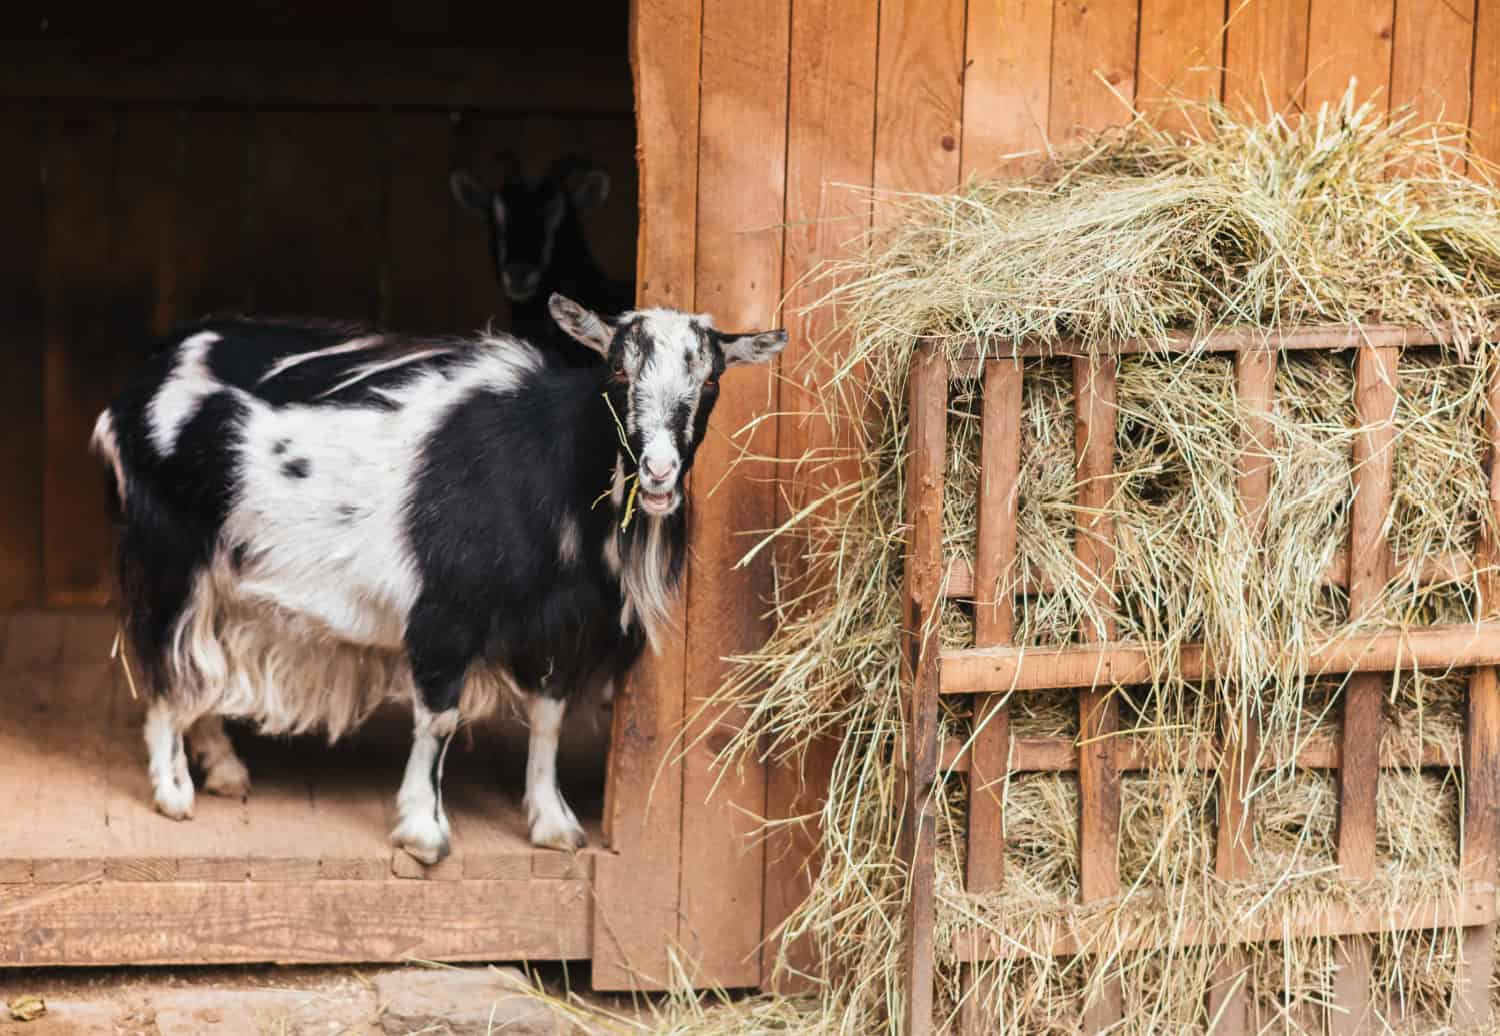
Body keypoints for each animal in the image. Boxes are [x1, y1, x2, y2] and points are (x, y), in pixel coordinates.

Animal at [91, 296, 785, 862]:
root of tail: (143, 381)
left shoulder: (557, 629)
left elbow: (549, 719)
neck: (549, 462)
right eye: (617, 372)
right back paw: (174, 789)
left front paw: (553, 823)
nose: (660, 473)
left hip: (225, 573)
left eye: (711, 379)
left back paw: (224, 767)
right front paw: (424, 832)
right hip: (168, 555)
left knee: (205, 662)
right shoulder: (446, 612)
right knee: (165, 661)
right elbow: (440, 720)